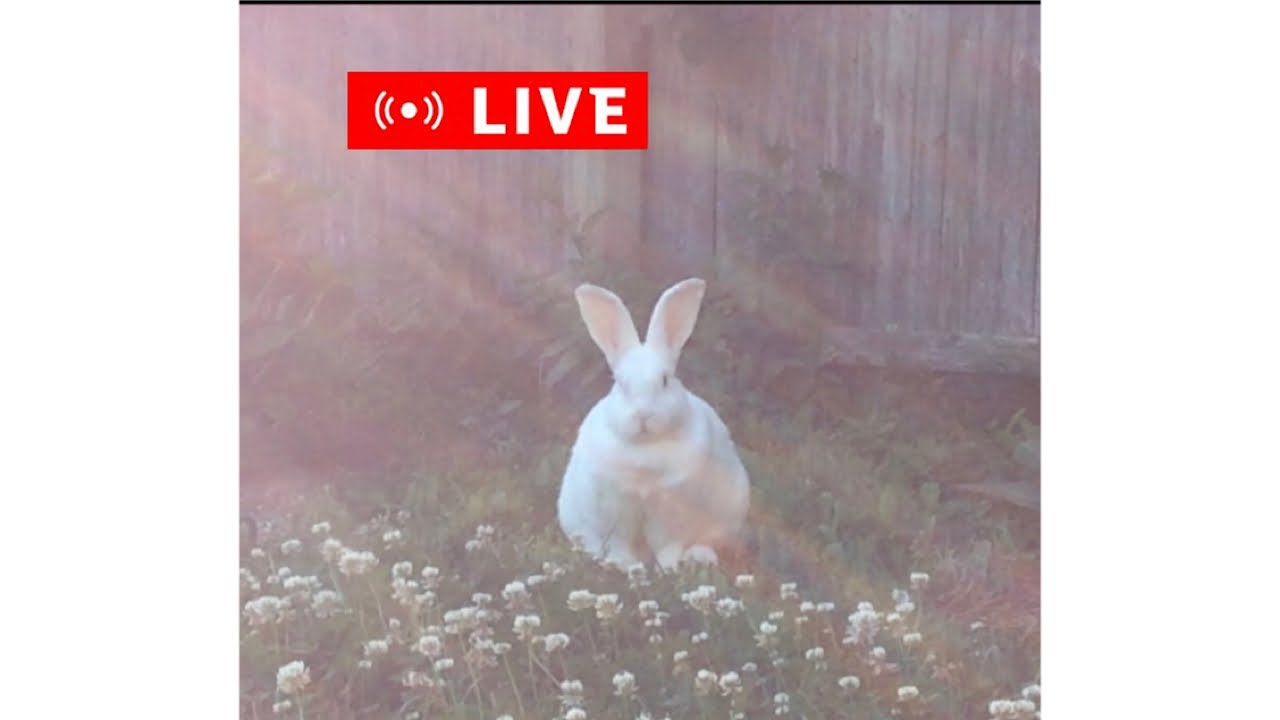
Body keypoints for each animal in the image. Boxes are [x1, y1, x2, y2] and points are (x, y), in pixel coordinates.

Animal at [556, 277, 751, 571]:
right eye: (620, 384)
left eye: (665, 380)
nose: (643, 414)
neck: (645, 450)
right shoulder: (615, 512)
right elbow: (619, 546)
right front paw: (625, 566)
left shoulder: (672, 513)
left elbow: (668, 546)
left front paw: (668, 568)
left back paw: (699, 557)